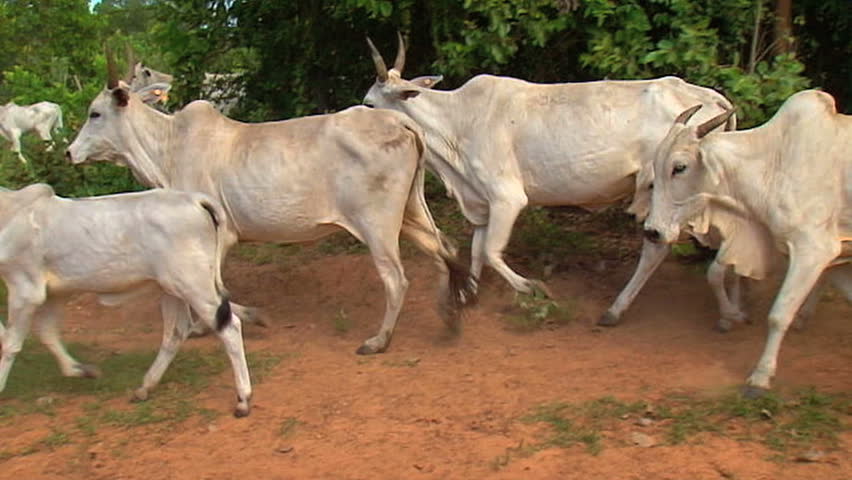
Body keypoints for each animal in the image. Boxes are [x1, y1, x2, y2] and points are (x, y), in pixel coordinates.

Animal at [0, 184, 252, 416]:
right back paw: (145, 387)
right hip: (171, 289)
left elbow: (10, 343)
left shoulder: (25, 290)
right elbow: (47, 334)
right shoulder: (54, 293)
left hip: (195, 285)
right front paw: (81, 370)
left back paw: (243, 399)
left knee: (229, 328)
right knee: (175, 333)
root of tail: (195, 199)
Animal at [66, 55, 476, 356]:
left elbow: (216, 290)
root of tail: (401, 123)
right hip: (410, 211)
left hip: (377, 225)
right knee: (443, 248)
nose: (70, 152)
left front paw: (247, 318)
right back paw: (450, 314)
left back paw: (379, 340)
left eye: (95, 113)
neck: (166, 148)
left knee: (396, 278)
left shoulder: (218, 235)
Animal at [363, 35, 736, 327]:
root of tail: (712, 97)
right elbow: (476, 251)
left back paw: (617, 310)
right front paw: (467, 294)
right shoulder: (481, 202)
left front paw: (533, 288)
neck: (456, 125)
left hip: (667, 193)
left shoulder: (507, 198)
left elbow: (491, 252)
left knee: (657, 246)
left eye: (368, 103)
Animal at [643, 89, 852, 393]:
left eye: (679, 167)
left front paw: (761, 377)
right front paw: (733, 315)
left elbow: (778, 315)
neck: (773, 164)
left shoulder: (813, 250)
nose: (652, 231)